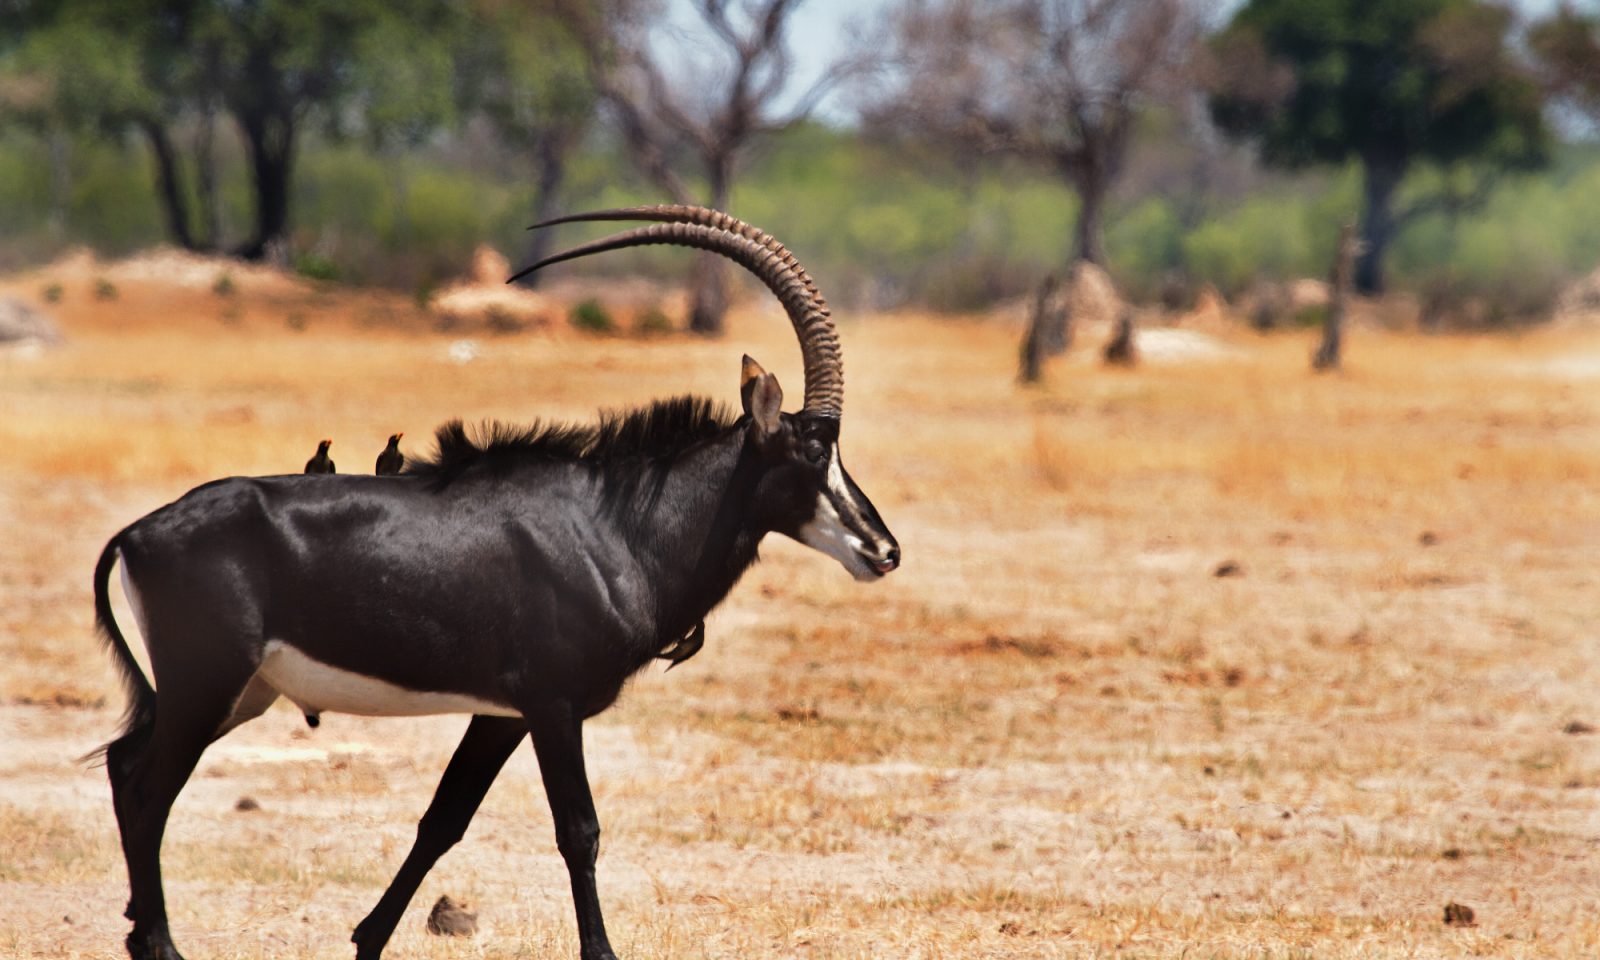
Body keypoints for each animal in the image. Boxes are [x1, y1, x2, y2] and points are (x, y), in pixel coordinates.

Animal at [91, 205, 900, 960]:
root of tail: (137, 533)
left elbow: (443, 820)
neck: (612, 522)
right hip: (208, 685)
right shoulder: (553, 705)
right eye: (813, 451)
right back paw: (160, 943)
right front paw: (601, 951)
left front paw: (367, 938)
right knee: (149, 787)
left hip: (239, 693)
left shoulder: (501, 715)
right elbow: (579, 829)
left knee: (128, 767)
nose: (884, 550)